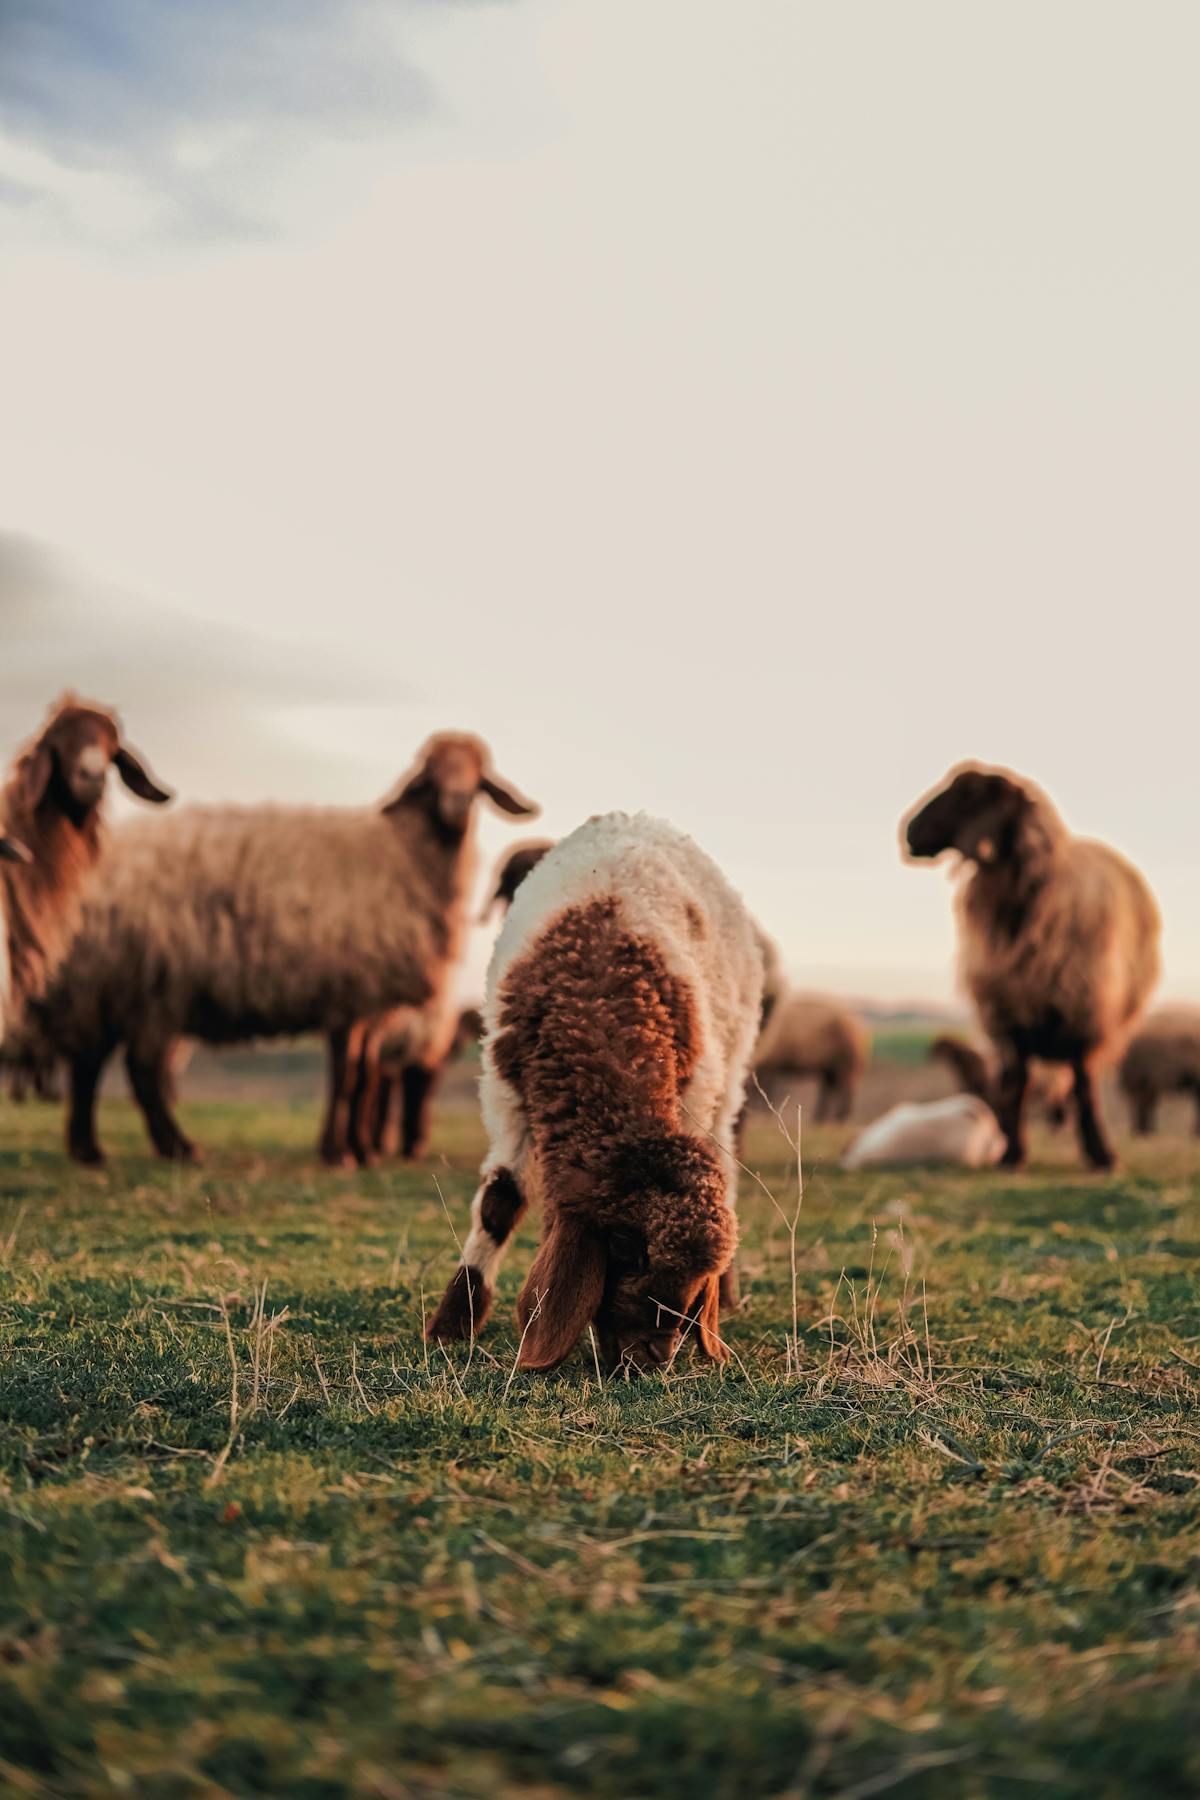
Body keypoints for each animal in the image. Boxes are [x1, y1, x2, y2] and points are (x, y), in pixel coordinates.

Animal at [33, 732, 536, 1166]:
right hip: (147, 984)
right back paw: (177, 1147)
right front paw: (340, 1153)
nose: (455, 804)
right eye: (431, 776)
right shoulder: (349, 996)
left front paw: (360, 1150)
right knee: (139, 1070)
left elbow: (365, 1078)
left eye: (479, 778)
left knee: (88, 1063)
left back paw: (89, 1148)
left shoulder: (370, 1005)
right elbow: (349, 1078)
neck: (403, 852)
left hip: (107, 984)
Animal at [426, 811, 764, 1373]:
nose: (652, 1358)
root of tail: (640, 816)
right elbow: (499, 1203)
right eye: (626, 1245)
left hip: (730, 1071)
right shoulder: (508, 1096)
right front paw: (452, 1323)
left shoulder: (691, 1097)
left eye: (697, 1282)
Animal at [753, 992, 869, 1122]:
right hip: (831, 1068)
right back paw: (820, 1116)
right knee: (830, 1088)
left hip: (844, 1064)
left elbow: (766, 1087)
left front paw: (763, 1112)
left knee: (846, 1086)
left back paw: (840, 1116)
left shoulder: (770, 1066)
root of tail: (858, 1024)